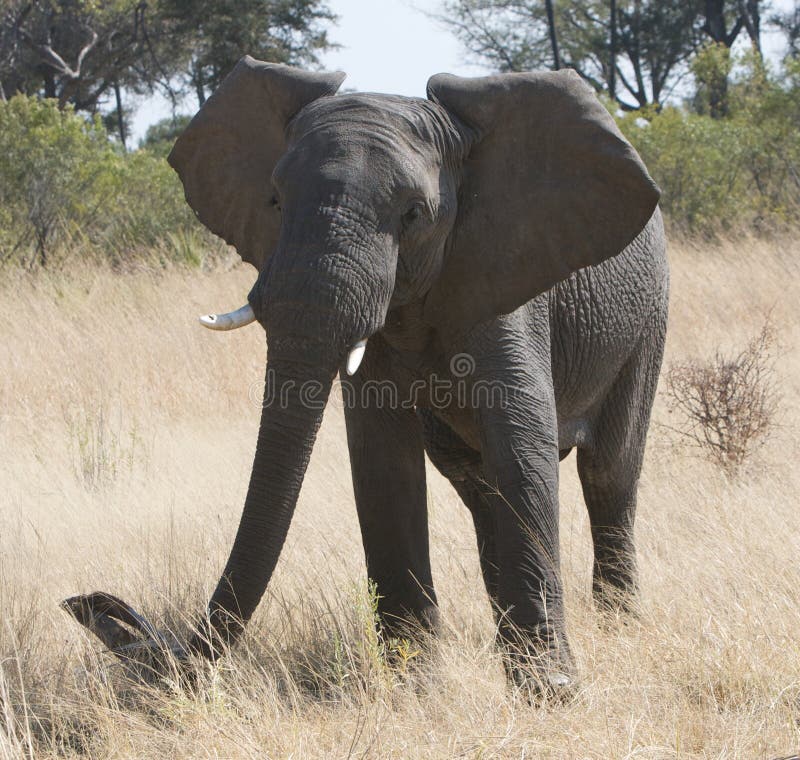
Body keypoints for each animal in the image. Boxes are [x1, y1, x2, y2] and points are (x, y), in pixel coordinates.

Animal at [166, 56, 668, 694]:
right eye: (275, 201)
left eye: (413, 215)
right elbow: (382, 461)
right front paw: (416, 683)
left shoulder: (505, 274)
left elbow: (521, 447)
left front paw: (550, 692)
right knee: (477, 485)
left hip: (648, 317)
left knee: (609, 469)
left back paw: (619, 622)